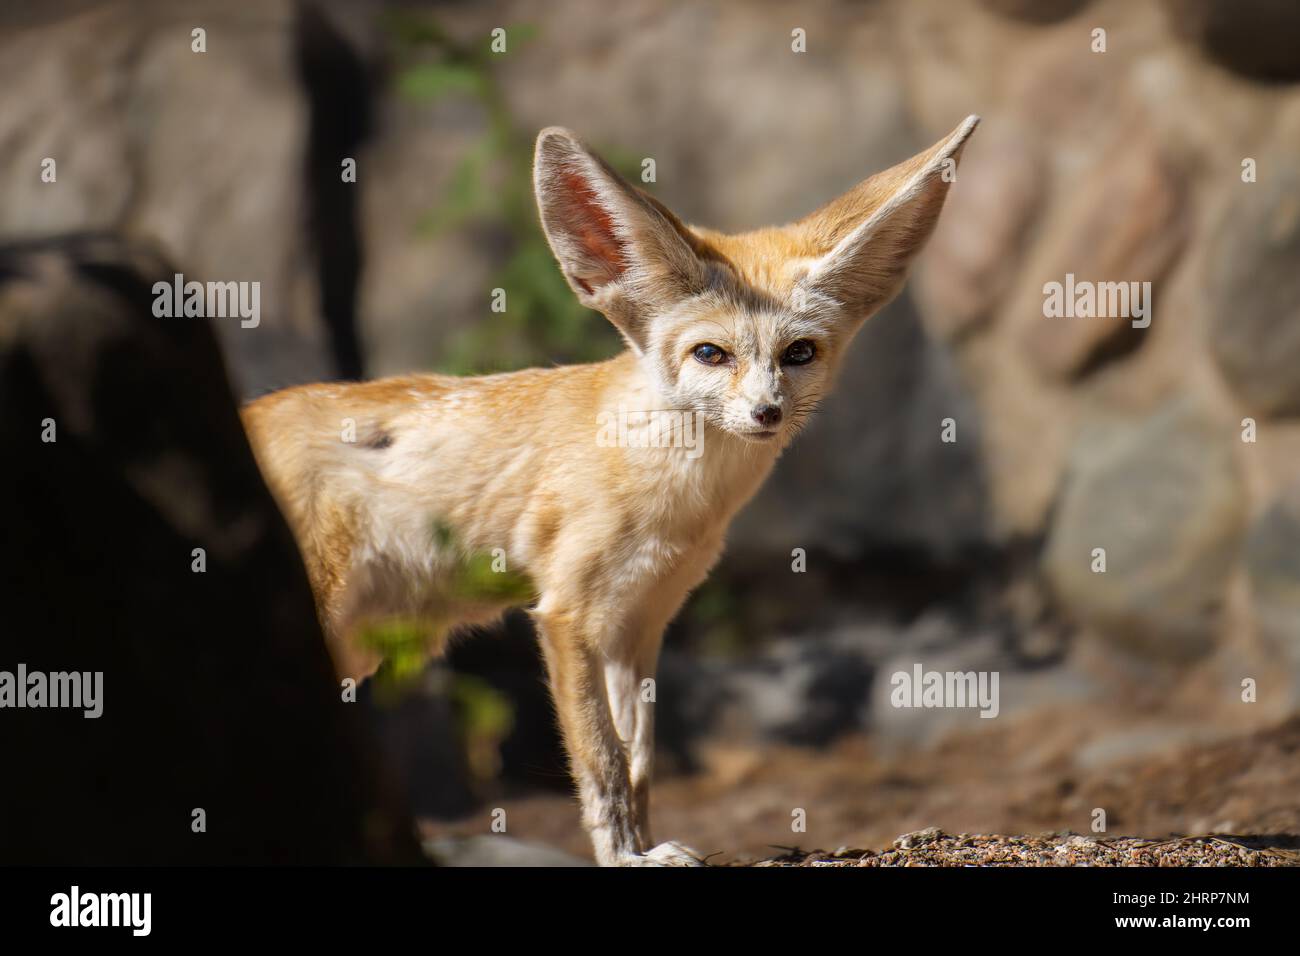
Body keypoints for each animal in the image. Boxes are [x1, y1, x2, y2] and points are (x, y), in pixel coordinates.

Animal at [241, 115, 979, 865]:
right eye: (710, 354)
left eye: (798, 354)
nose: (767, 413)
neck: (680, 496)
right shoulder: (566, 616)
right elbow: (600, 762)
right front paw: (626, 855)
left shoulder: (640, 623)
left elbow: (640, 760)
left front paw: (649, 845)